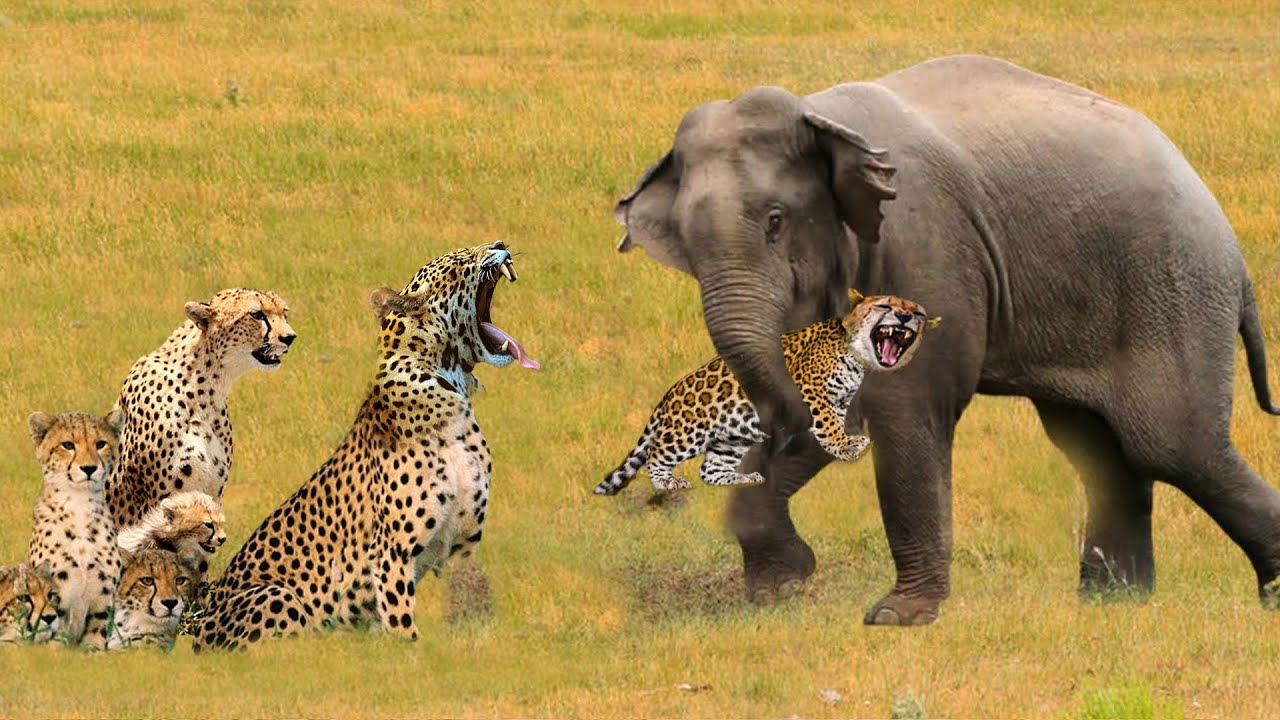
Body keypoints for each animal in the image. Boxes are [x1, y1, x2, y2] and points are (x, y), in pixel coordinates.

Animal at [26, 409, 124, 649]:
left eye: (100, 444)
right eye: (68, 445)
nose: (89, 468)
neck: (80, 504)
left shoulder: (102, 602)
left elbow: (95, 641)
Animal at [191, 241, 539, 651]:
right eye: (460, 261)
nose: (500, 245)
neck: (448, 380)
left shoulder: (464, 548)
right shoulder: (391, 553)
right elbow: (403, 627)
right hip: (277, 596)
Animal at [595, 290, 940, 495]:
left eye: (916, 312)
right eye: (884, 306)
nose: (905, 317)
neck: (858, 358)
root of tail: (670, 392)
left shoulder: (839, 399)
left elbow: (835, 422)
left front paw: (841, 446)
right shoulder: (811, 389)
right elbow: (827, 423)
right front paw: (846, 446)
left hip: (731, 439)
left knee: (710, 470)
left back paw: (745, 478)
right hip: (686, 433)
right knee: (656, 455)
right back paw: (668, 483)